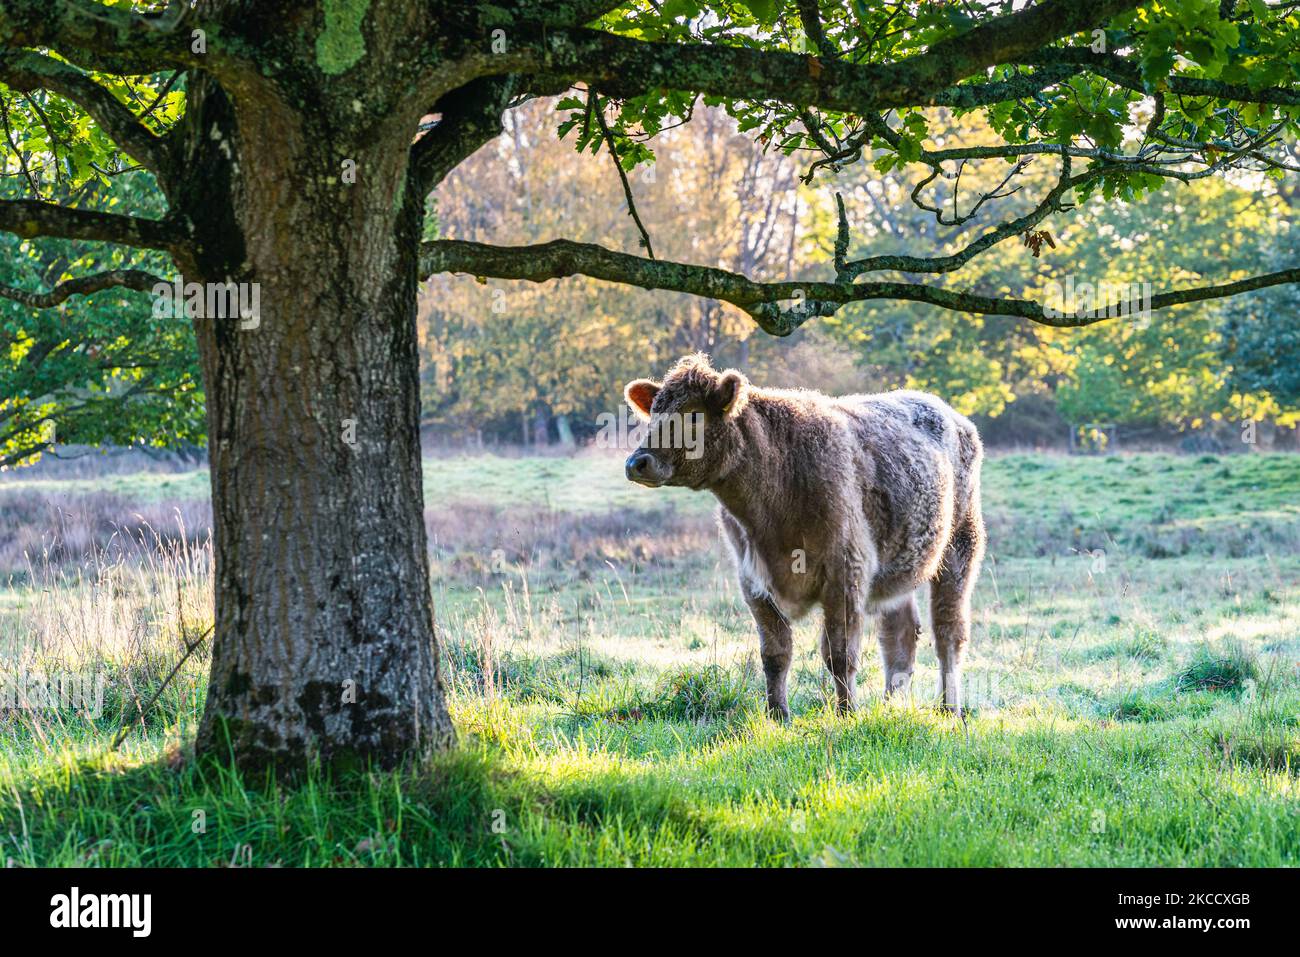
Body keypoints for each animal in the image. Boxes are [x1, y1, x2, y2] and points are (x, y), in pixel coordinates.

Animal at [623, 353, 985, 720]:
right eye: (654, 412)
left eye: (694, 414)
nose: (637, 463)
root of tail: (951, 415)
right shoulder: (754, 582)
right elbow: (775, 654)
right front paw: (777, 714)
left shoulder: (845, 573)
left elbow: (839, 655)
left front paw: (847, 713)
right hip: (896, 567)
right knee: (901, 635)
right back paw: (890, 705)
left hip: (960, 546)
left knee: (948, 632)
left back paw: (948, 707)